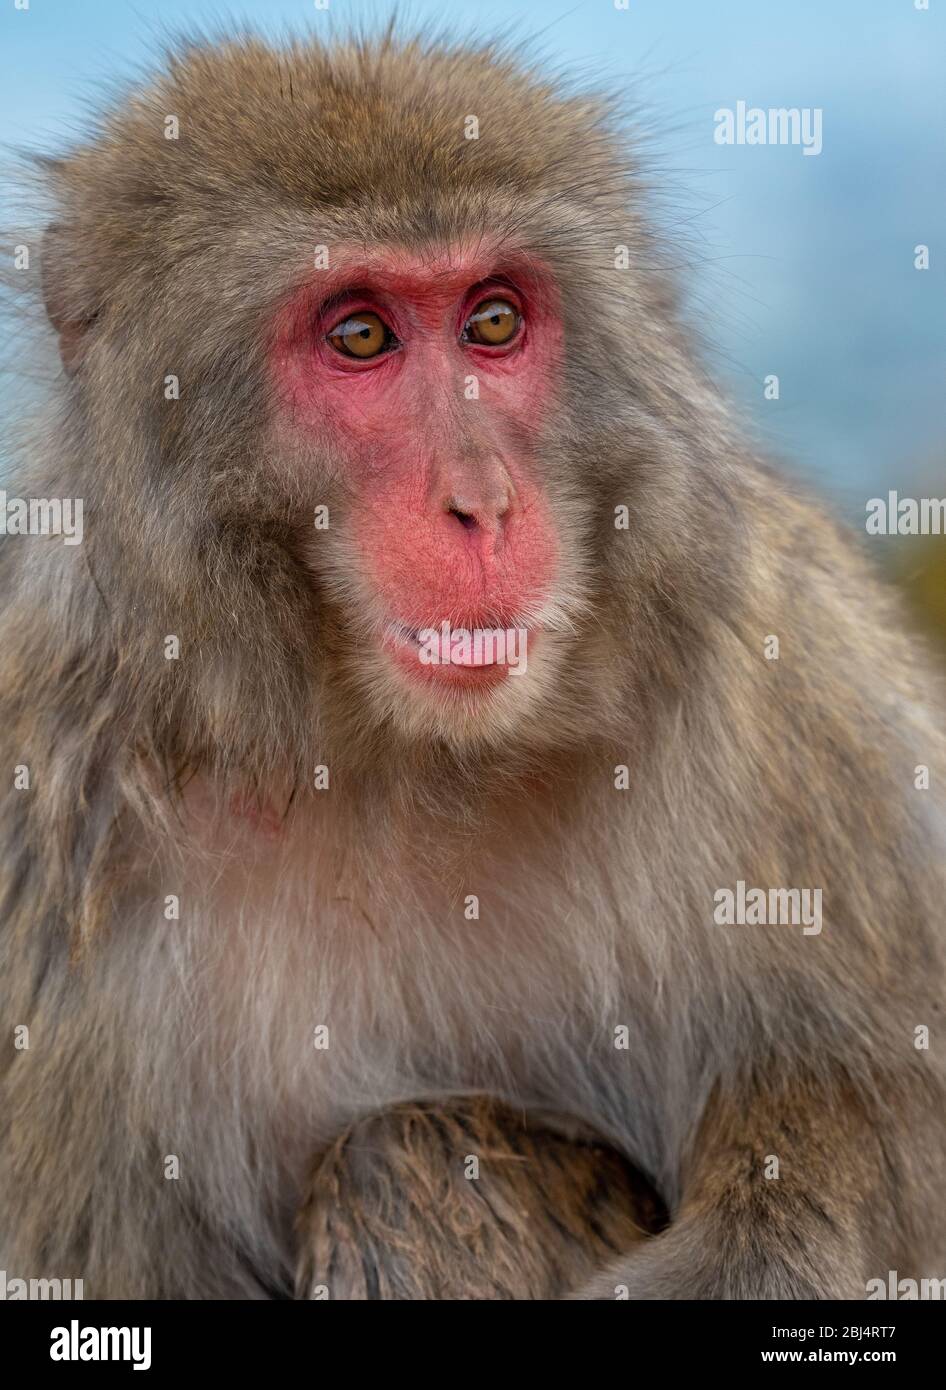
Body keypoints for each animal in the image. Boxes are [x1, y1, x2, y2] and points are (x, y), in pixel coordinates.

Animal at [0, 30, 944, 1301]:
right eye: (359, 335)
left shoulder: (782, 678)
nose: (483, 503)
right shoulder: (49, 828)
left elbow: (879, 1099)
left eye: (493, 321)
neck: (401, 759)